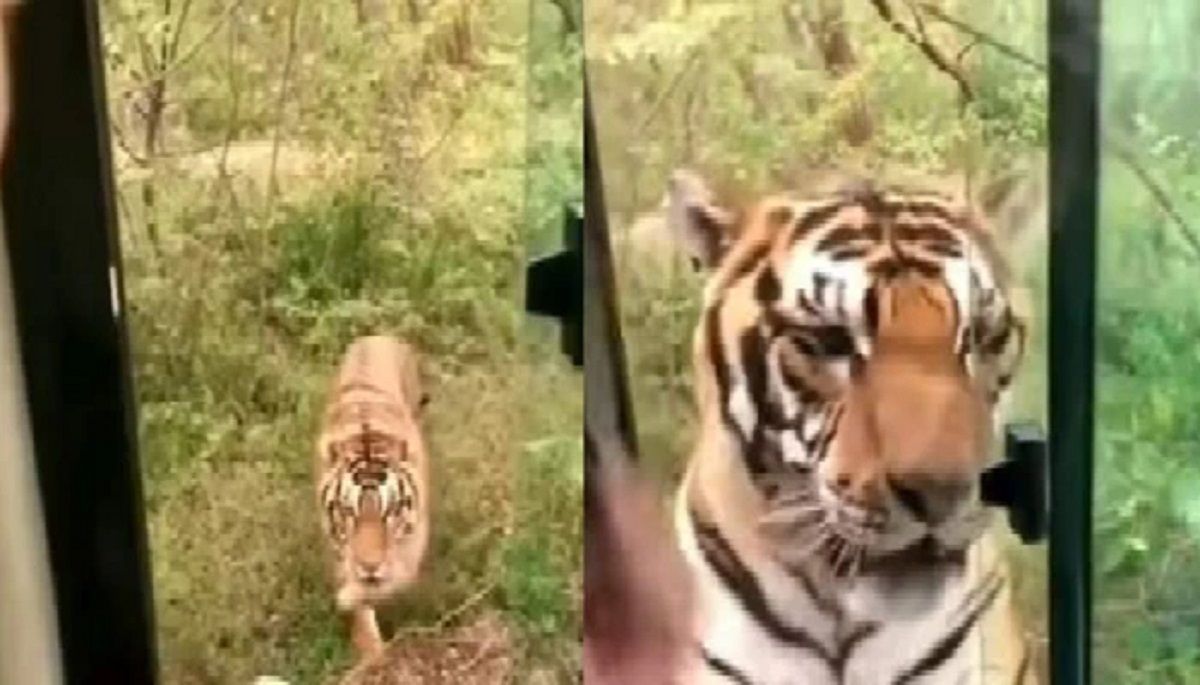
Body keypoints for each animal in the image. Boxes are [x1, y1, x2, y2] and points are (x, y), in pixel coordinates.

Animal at [316, 335, 430, 659]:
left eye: (390, 511)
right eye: (348, 512)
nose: (370, 567)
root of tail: (379, 336)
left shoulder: (413, 542)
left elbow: (396, 579)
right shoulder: (337, 545)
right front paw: (369, 649)